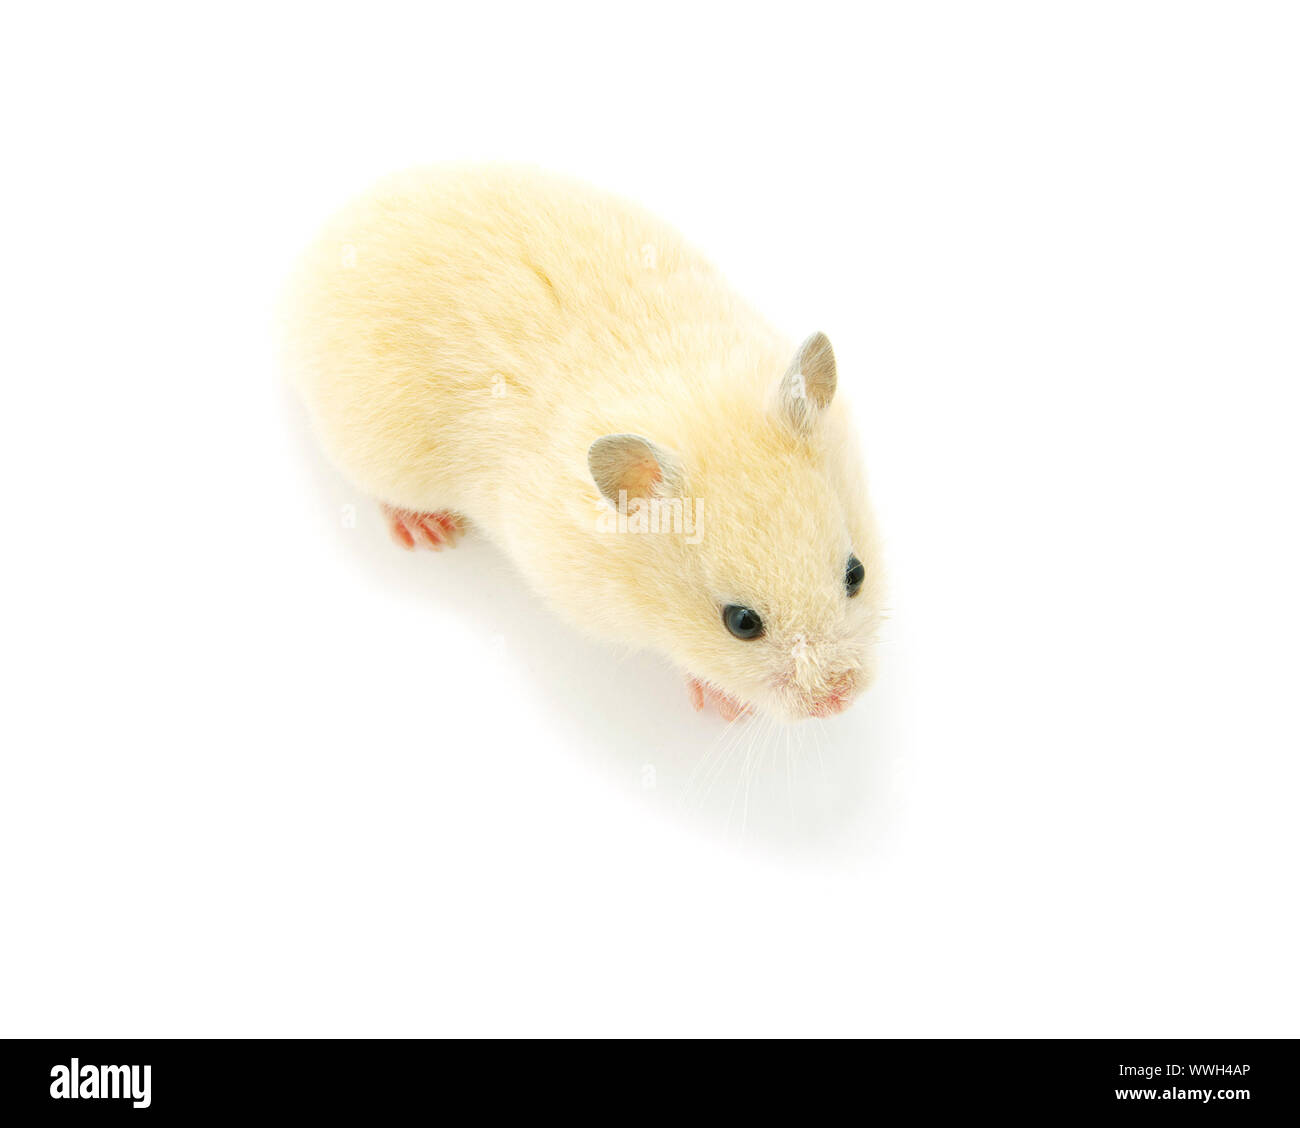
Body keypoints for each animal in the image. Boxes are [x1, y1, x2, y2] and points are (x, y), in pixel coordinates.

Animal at [283, 166, 884, 721]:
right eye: (740, 623)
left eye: (855, 573)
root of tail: (330, 238)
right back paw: (428, 532)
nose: (839, 701)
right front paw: (723, 705)